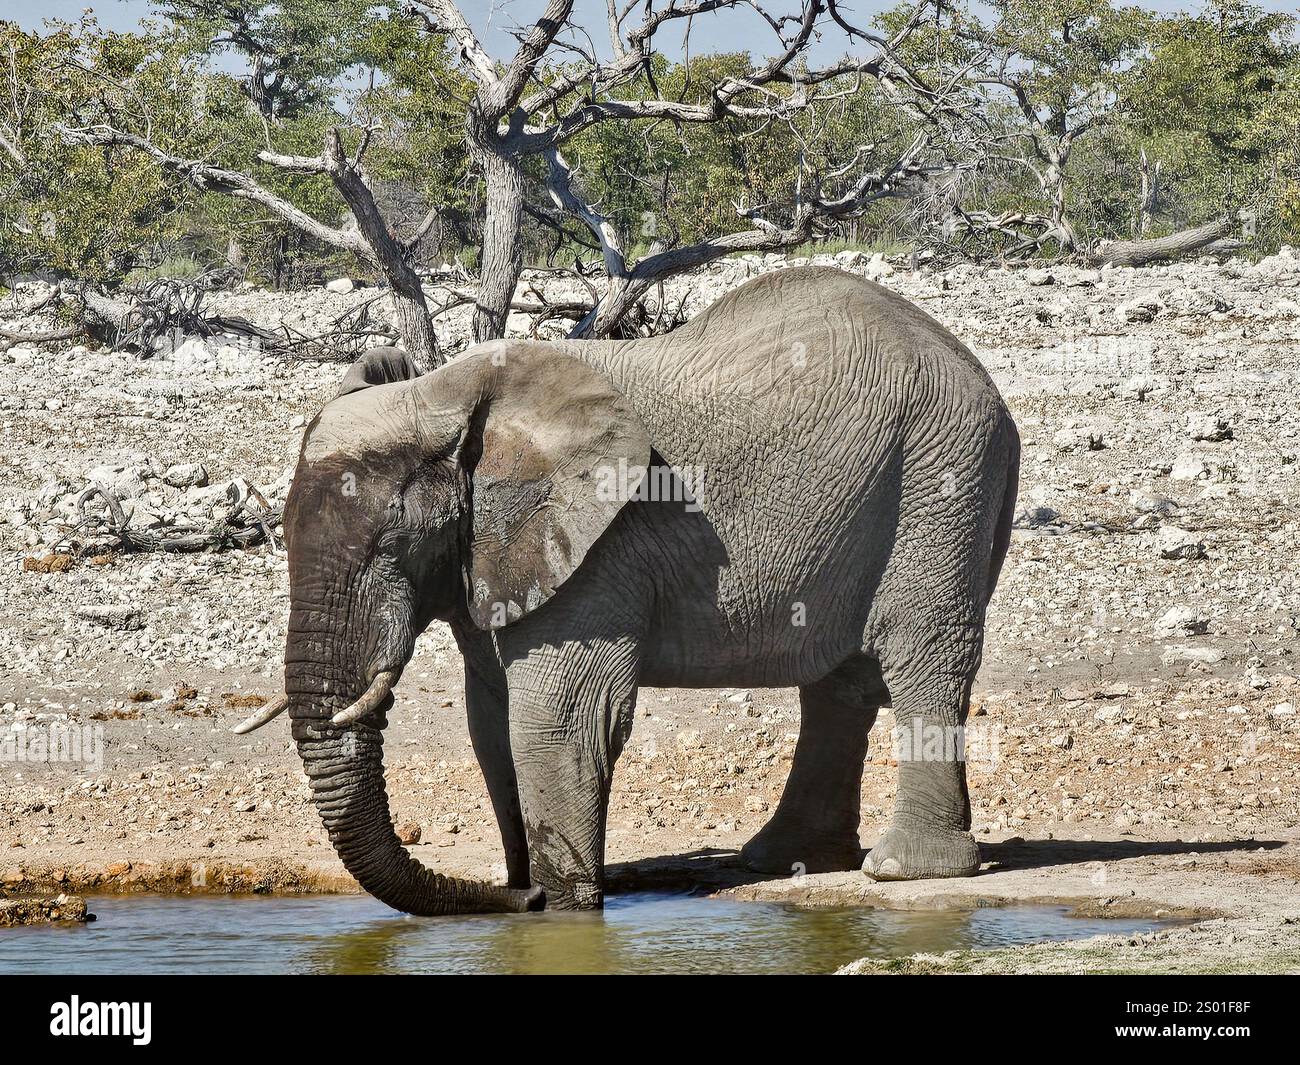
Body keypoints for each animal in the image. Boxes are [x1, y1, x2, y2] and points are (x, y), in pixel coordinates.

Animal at [237, 266, 1020, 915]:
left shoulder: (597, 547)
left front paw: (565, 910)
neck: (453, 398)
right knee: (839, 685)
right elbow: (491, 724)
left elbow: (558, 721)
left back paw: (905, 870)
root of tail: (975, 368)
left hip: (942, 474)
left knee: (921, 659)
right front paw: (528, 894)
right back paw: (784, 860)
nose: (515, 898)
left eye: (389, 547)